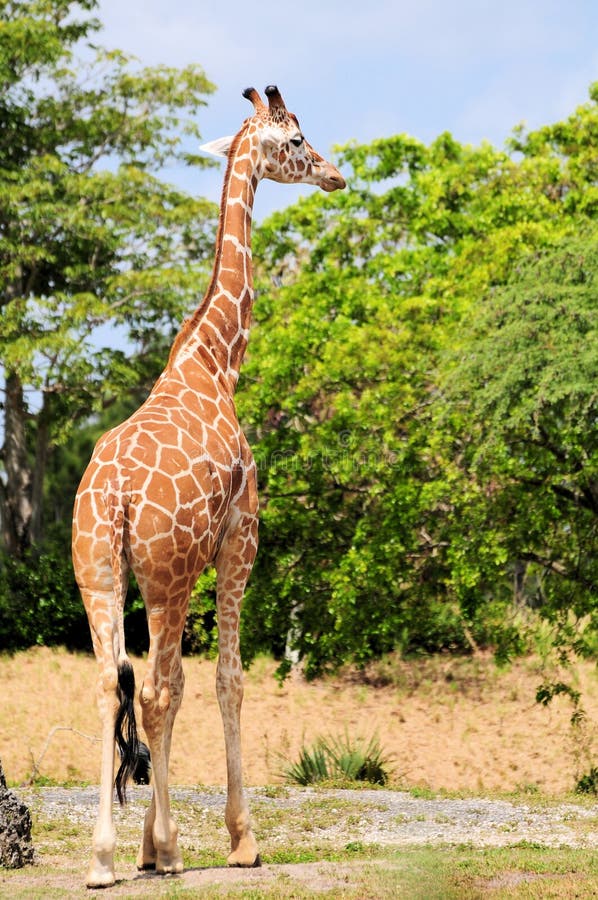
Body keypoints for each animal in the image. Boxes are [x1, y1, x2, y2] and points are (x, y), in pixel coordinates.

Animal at [72, 84, 345, 888]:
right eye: (297, 138)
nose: (335, 174)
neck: (215, 360)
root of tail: (116, 496)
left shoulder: (185, 565)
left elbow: (182, 686)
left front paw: (143, 844)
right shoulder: (237, 540)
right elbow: (226, 680)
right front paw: (237, 838)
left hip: (100, 572)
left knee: (110, 683)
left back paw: (103, 858)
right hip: (158, 578)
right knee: (150, 689)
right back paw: (166, 850)